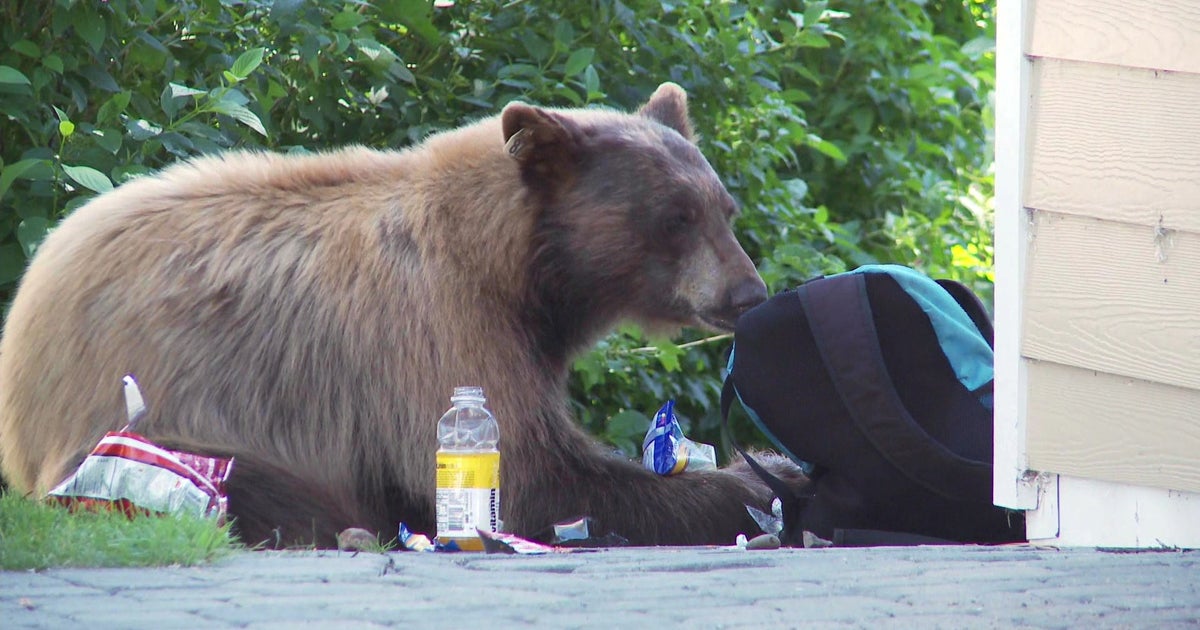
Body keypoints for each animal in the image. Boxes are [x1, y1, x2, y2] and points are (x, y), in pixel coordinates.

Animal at [0, 83, 807, 547]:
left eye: (724, 208)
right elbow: (539, 480)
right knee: (268, 487)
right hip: (139, 426)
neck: (517, 270)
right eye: (675, 216)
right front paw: (762, 483)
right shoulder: (438, 326)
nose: (747, 293)